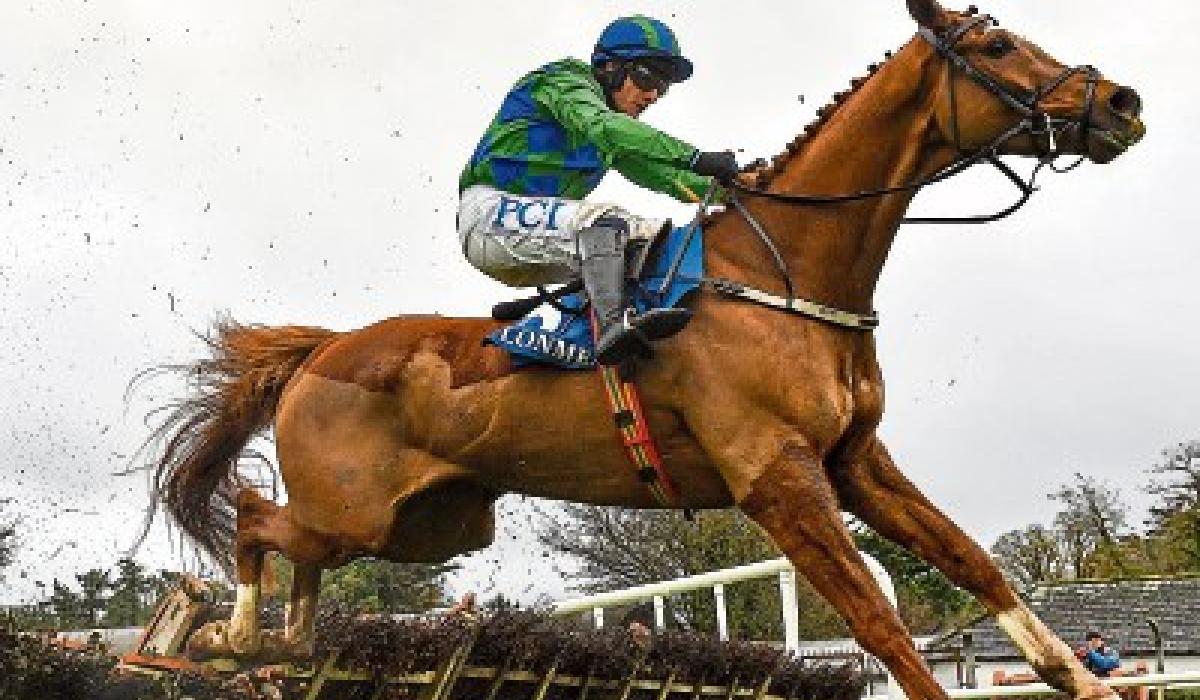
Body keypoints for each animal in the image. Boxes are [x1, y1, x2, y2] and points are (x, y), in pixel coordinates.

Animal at [144, 1, 1144, 698]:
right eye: (996, 47)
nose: (1122, 101)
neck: (782, 269)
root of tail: (322, 351)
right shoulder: (775, 474)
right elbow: (876, 622)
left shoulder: (855, 460)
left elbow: (975, 560)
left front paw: (1082, 676)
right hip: (358, 509)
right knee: (254, 514)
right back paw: (223, 633)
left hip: (429, 526)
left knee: (293, 562)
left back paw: (269, 638)